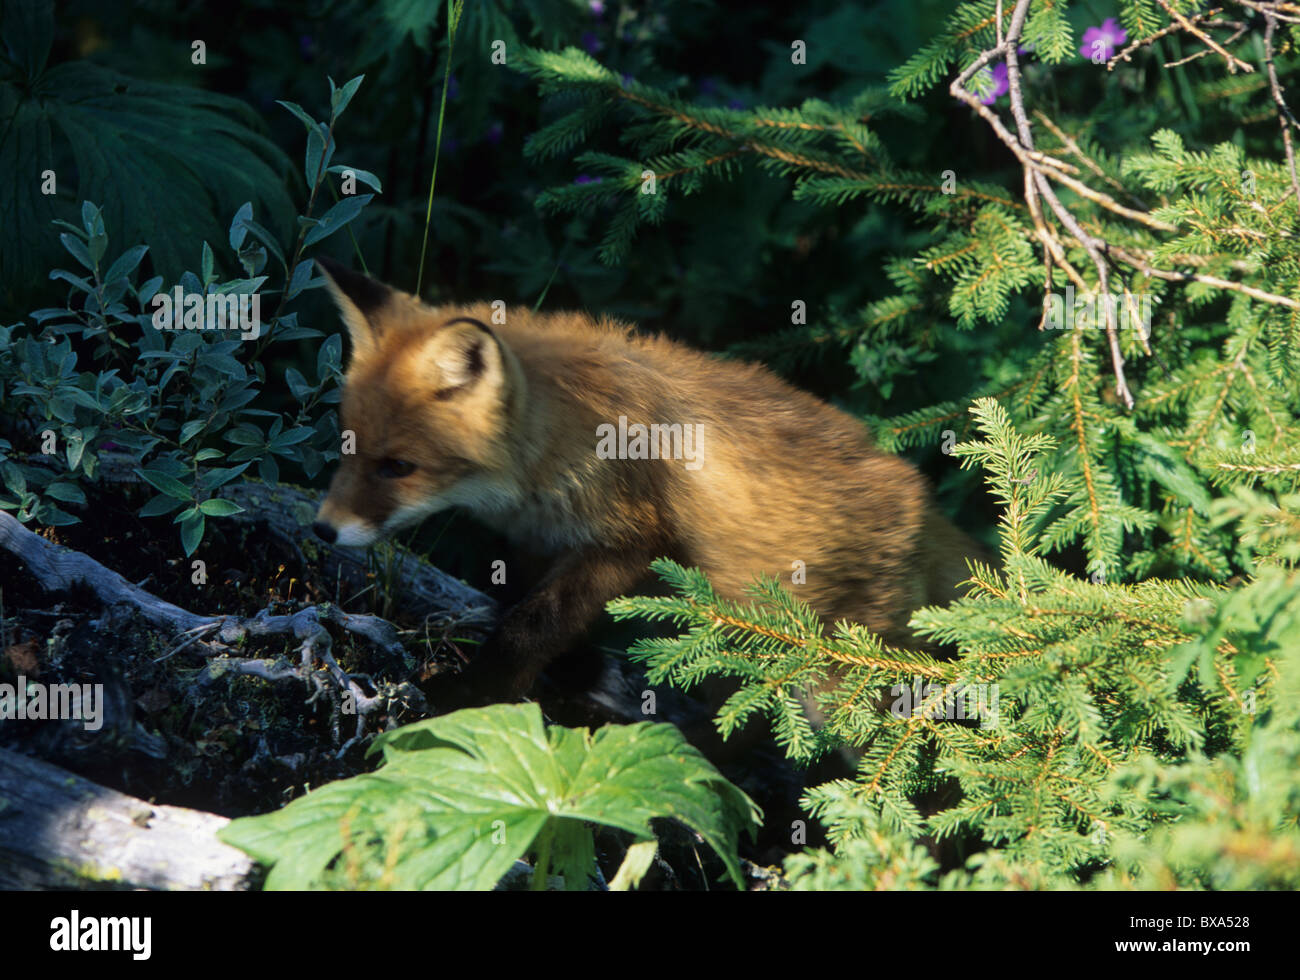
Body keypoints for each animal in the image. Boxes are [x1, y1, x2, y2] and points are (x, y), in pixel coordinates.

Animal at [310, 257, 986, 720]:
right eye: (347, 445)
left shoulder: (633, 541)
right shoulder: (539, 538)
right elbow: (528, 607)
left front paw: (471, 691)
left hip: (841, 676)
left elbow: (535, 621)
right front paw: (574, 670)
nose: (321, 529)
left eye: (397, 467)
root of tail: (922, 499)